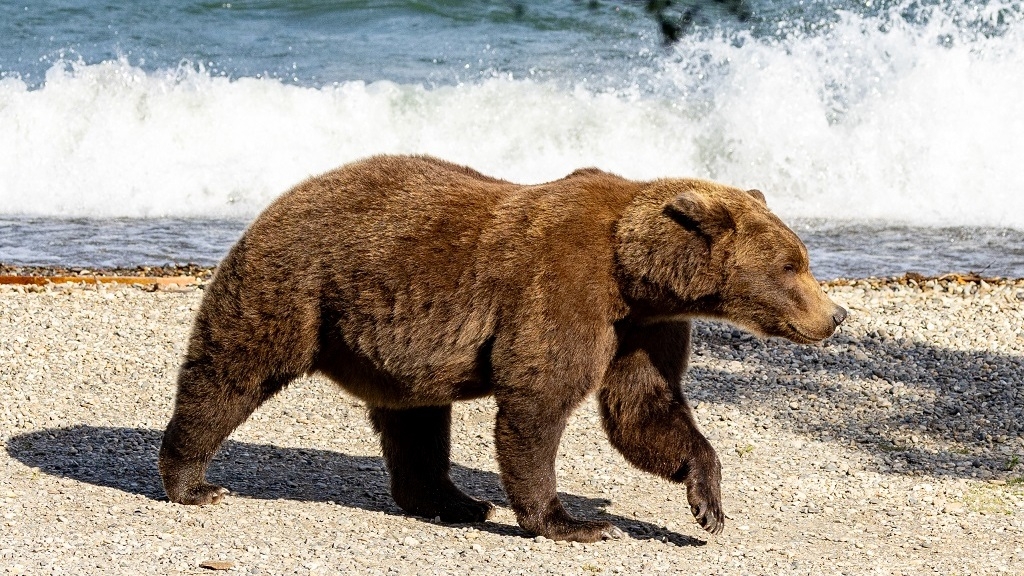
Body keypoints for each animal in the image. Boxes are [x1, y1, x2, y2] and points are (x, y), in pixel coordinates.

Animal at [158, 154, 847, 542]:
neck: (636, 274)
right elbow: (538, 401)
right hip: (298, 285)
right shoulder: (566, 287)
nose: (835, 315)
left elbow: (644, 408)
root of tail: (282, 195)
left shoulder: (644, 329)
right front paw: (576, 522)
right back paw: (192, 480)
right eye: (793, 265)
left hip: (394, 347)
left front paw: (707, 504)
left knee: (415, 421)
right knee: (230, 370)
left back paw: (457, 502)